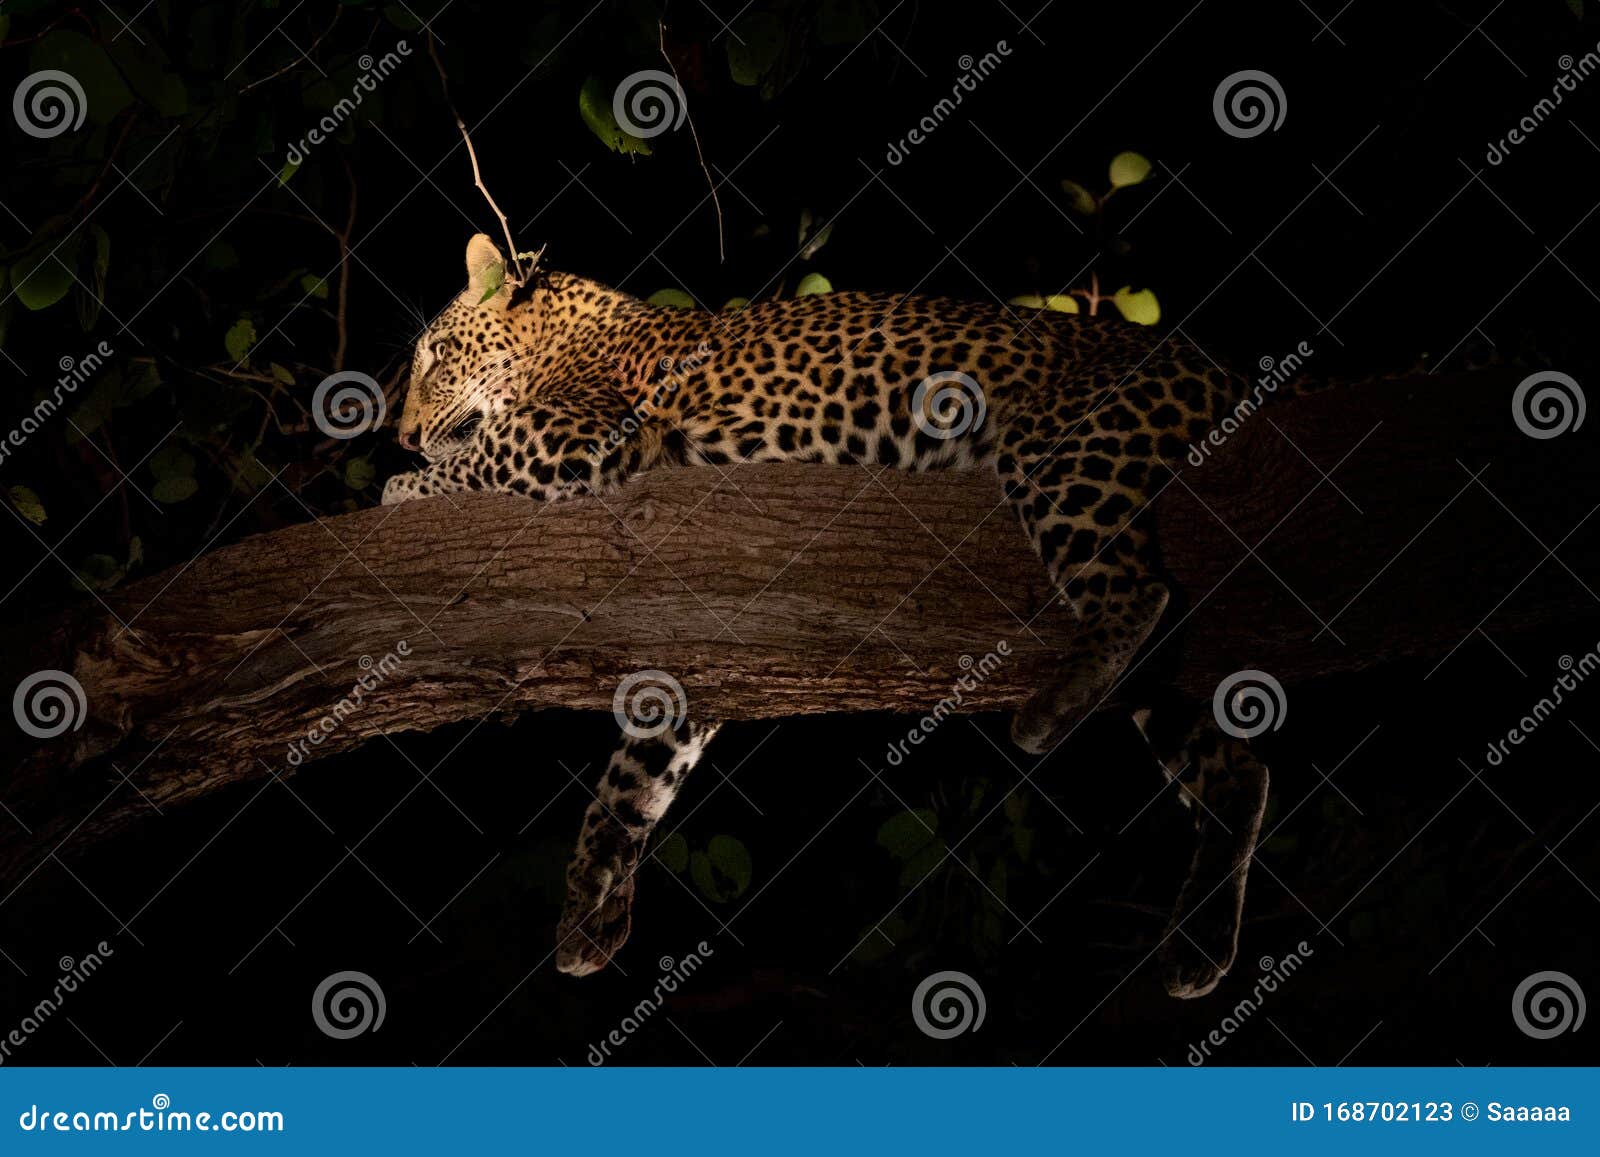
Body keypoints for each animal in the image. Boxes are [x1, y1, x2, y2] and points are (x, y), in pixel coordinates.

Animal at [382, 234, 1274, 1000]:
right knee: (1240, 768)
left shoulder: (585, 430)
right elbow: (636, 774)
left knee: (1140, 592)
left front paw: (402, 486)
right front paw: (590, 903)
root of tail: (1219, 366)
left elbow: (485, 450)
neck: (565, 337)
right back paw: (1202, 943)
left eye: (436, 357)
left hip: (1070, 448)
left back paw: (1050, 711)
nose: (405, 435)